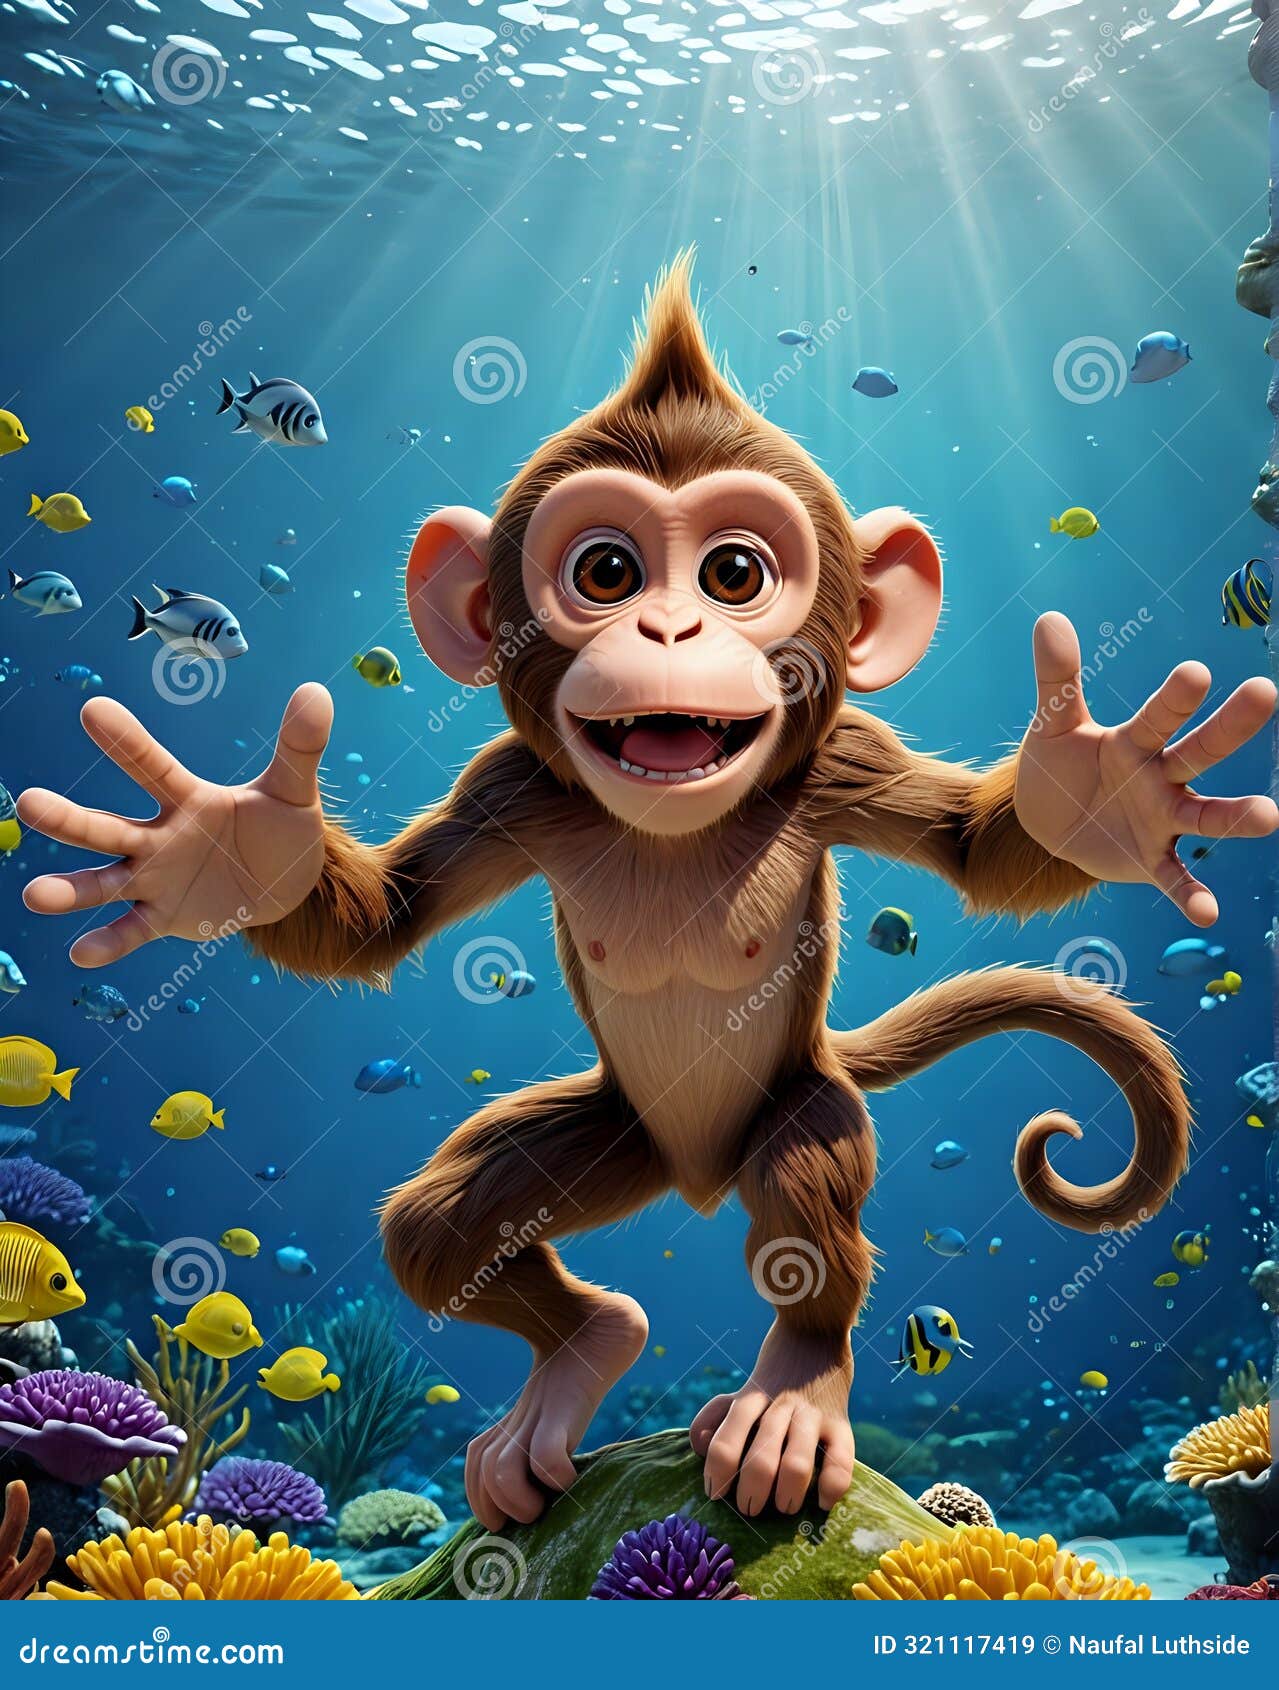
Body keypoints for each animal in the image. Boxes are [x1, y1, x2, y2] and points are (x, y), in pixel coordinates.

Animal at [19, 255, 1278, 1531]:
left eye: (733, 573)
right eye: (606, 570)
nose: (667, 625)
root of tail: (692, 1173)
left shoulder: (844, 762)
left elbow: (973, 851)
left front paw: (1101, 790)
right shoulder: (511, 790)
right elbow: (391, 920)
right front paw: (228, 850)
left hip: (801, 1098)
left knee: (800, 1204)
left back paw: (788, 1395)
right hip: (607, 1134)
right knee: (439, 1227)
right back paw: (588, 1350)